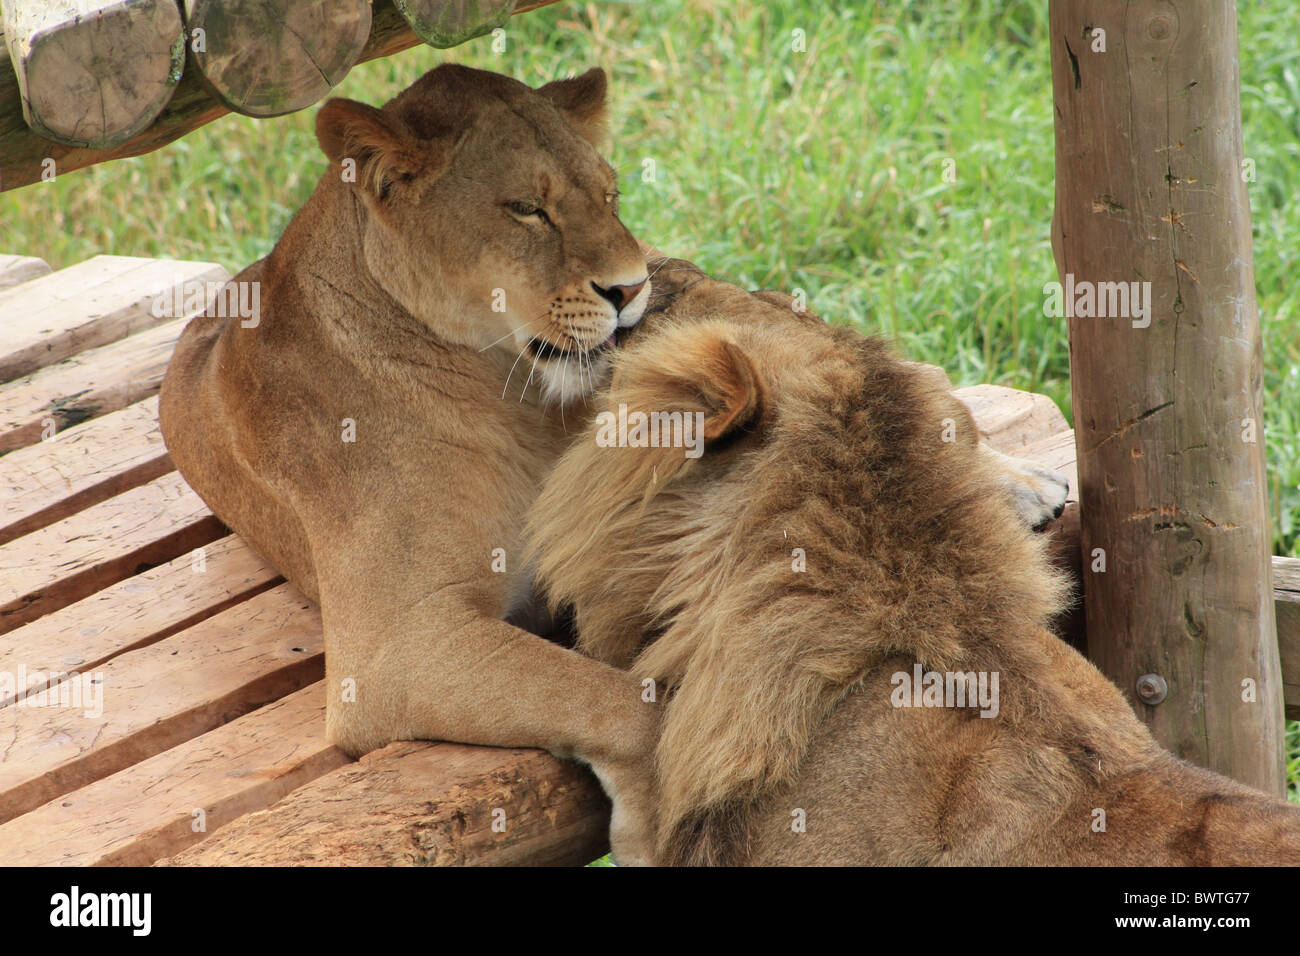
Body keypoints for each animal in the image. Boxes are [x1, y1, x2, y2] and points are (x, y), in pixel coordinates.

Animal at [159, 64, 667, 863]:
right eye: (527, 210)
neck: (513, 394)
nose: (632, 287)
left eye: (611, 197)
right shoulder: (392, 650)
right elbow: (613, 700)